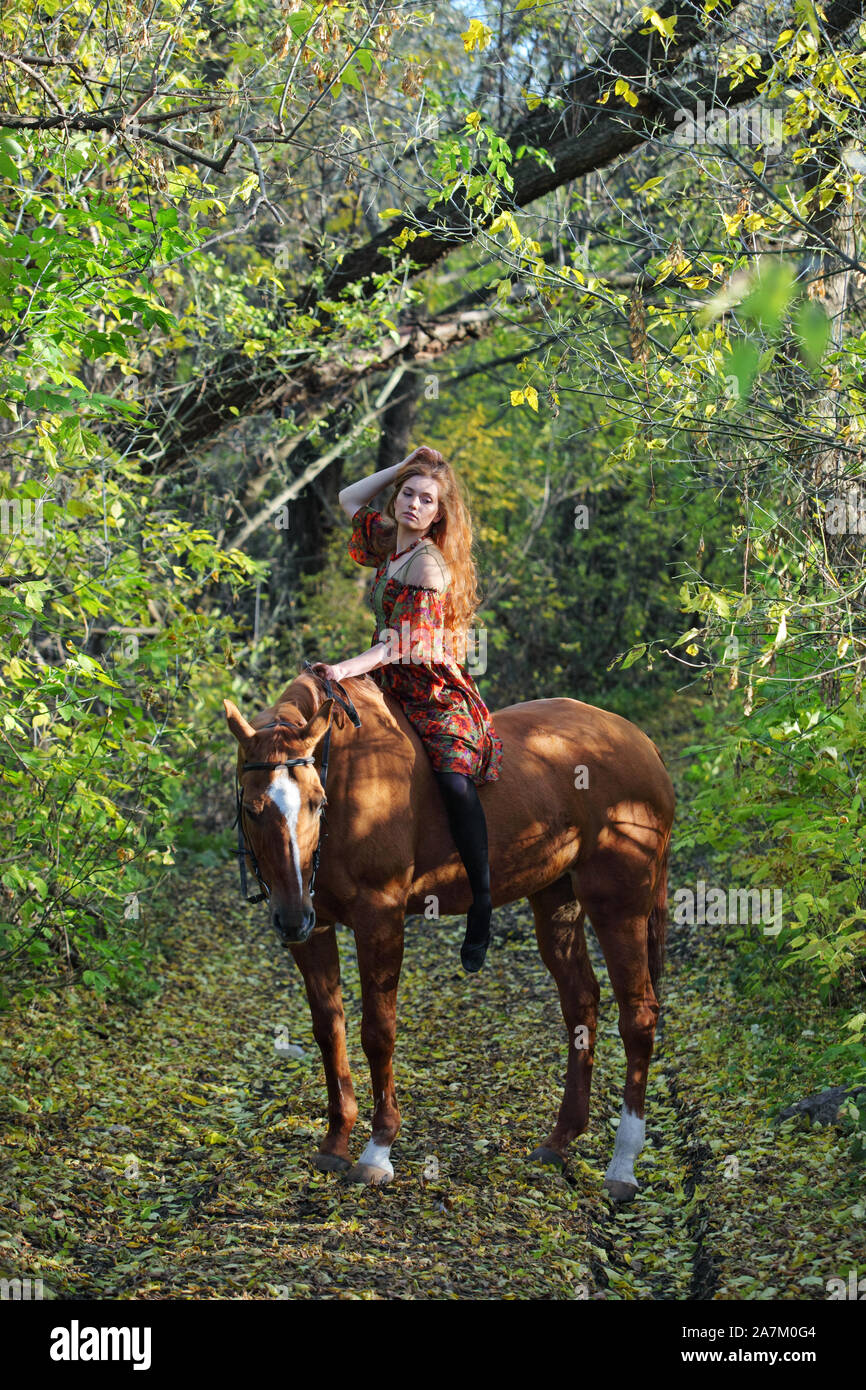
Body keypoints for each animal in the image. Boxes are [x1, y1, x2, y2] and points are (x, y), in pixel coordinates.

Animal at [224, 666, 675, 1201]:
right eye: (253, 809)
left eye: (317, 804)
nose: (291, 916)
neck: (347, 773)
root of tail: (639, 743)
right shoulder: (316, 930)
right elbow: (329, 1030)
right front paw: (334, 1144)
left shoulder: (380, 918)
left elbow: (377, 1031)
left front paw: (377, 1151)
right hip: (556, 899)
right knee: (581, 1003)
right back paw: (560, 1140)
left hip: (618, 905)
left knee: (638, 1016)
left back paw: (622, 1164)